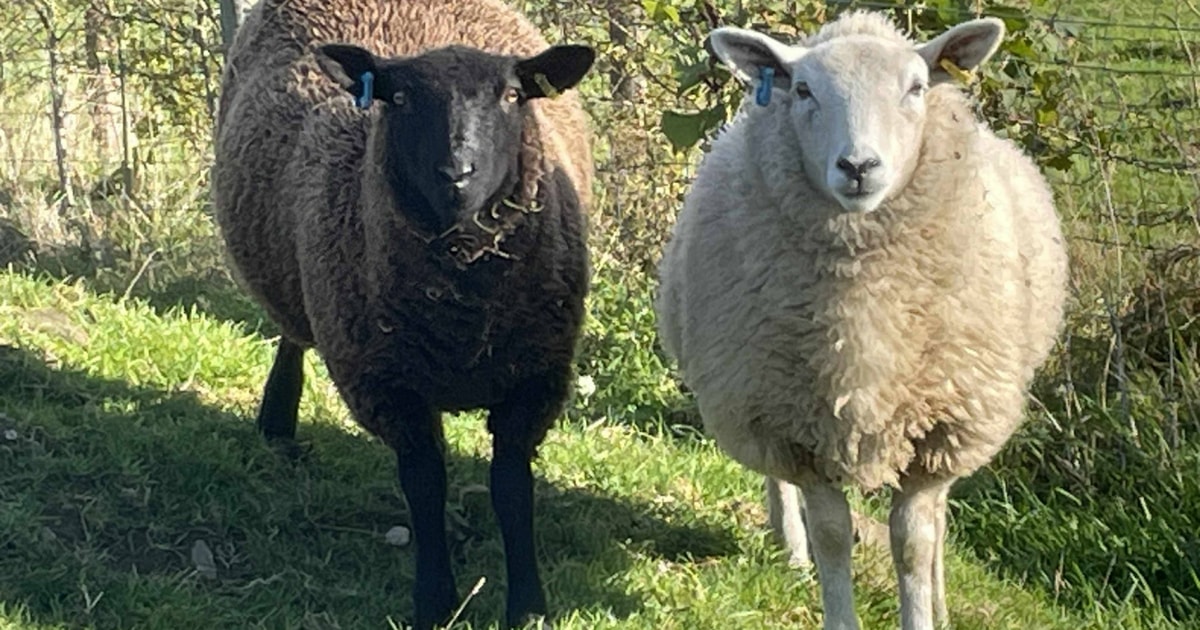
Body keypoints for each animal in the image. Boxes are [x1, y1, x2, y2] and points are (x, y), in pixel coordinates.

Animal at [210, 0, 596, 628]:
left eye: (513, 95)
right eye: (402, 98)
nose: (457, 172)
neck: (463, 310)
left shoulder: (534, 378)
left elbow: (512, 488)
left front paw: (528, 605)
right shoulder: (388, 385)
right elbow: (425, 486)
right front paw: (435, 599)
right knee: (292, 334)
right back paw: (277, 421)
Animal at [654, 10, 1069, 630]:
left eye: (916, 87)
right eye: (803, 90)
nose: (858, 166)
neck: (862, 299)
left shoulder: (939, 430)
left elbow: (914, 541)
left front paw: (923, 611)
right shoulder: (793, 423)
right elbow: (831, 535)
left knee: (939, 517)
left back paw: (940, 599)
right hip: (757, 387)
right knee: (779, 484)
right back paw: (789, 548)